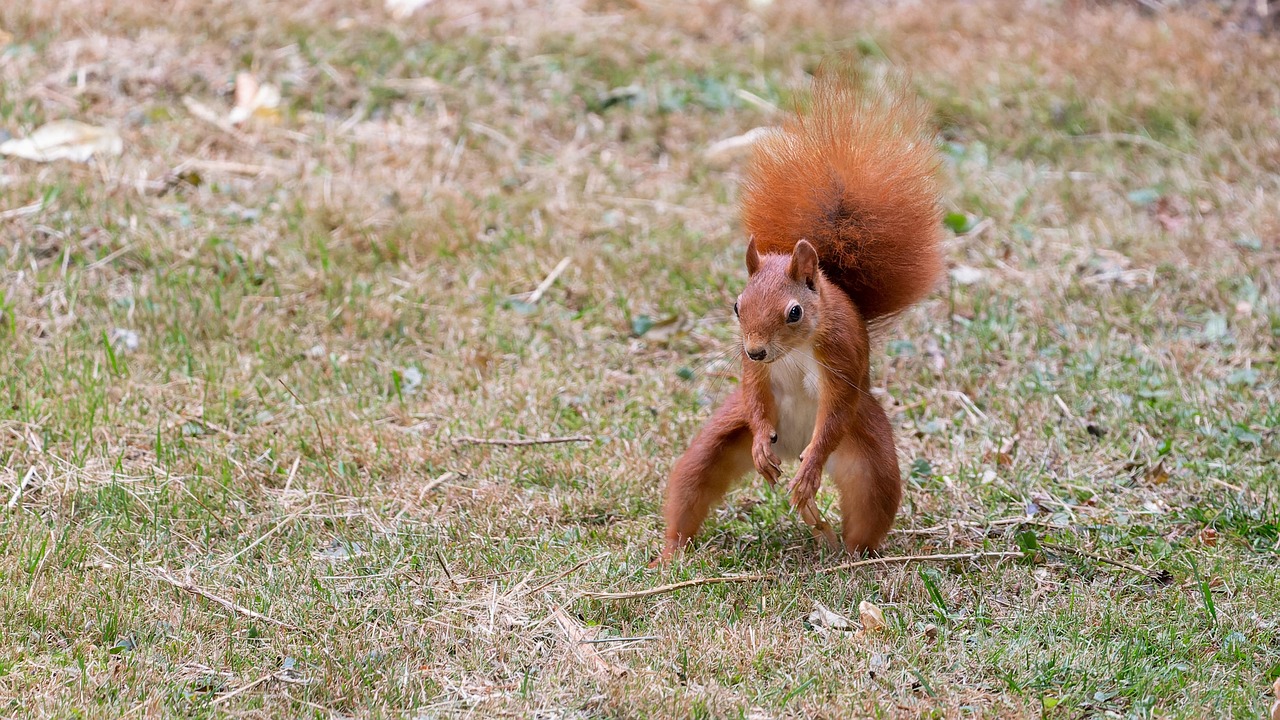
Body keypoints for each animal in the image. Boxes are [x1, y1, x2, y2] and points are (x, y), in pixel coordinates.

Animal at [659, 67, 943, 562]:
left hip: (867, 456)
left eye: (794, 312)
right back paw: (671, 553)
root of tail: (790, 447)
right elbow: (755, 396)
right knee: (692, 483)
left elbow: (833, 412)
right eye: (737, 305)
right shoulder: (753, 378)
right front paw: (759, 445)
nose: (755, 350)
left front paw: (810, 475)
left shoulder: (841, 360)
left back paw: (846, 548)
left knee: (865, 498)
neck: (791, 351)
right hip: (717, 442)